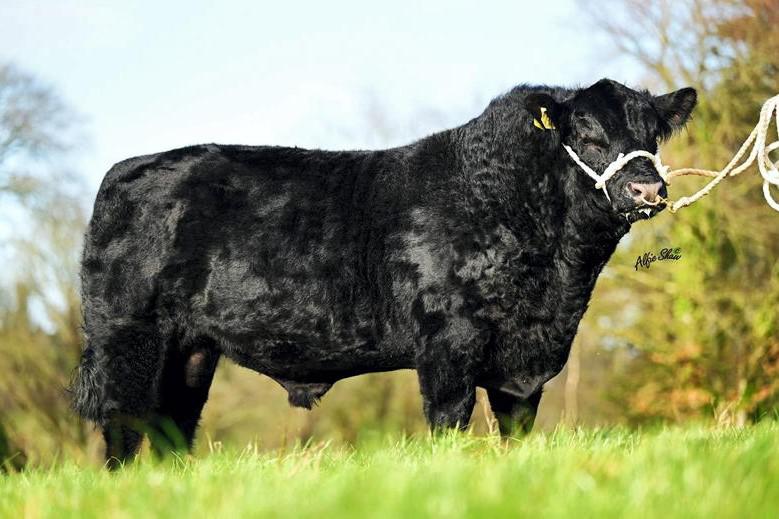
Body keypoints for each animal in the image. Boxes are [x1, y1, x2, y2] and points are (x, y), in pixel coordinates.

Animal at [71, 78, 696, 467]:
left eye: (651, 137)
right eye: (588, 135)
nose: (646, 189)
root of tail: (127, 169)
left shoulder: (524, 364)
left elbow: (516, 434)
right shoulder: (447, 344)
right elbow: (448, 422)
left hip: (192, 351)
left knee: (172, 428)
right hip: (129, 338)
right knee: (124, 427)